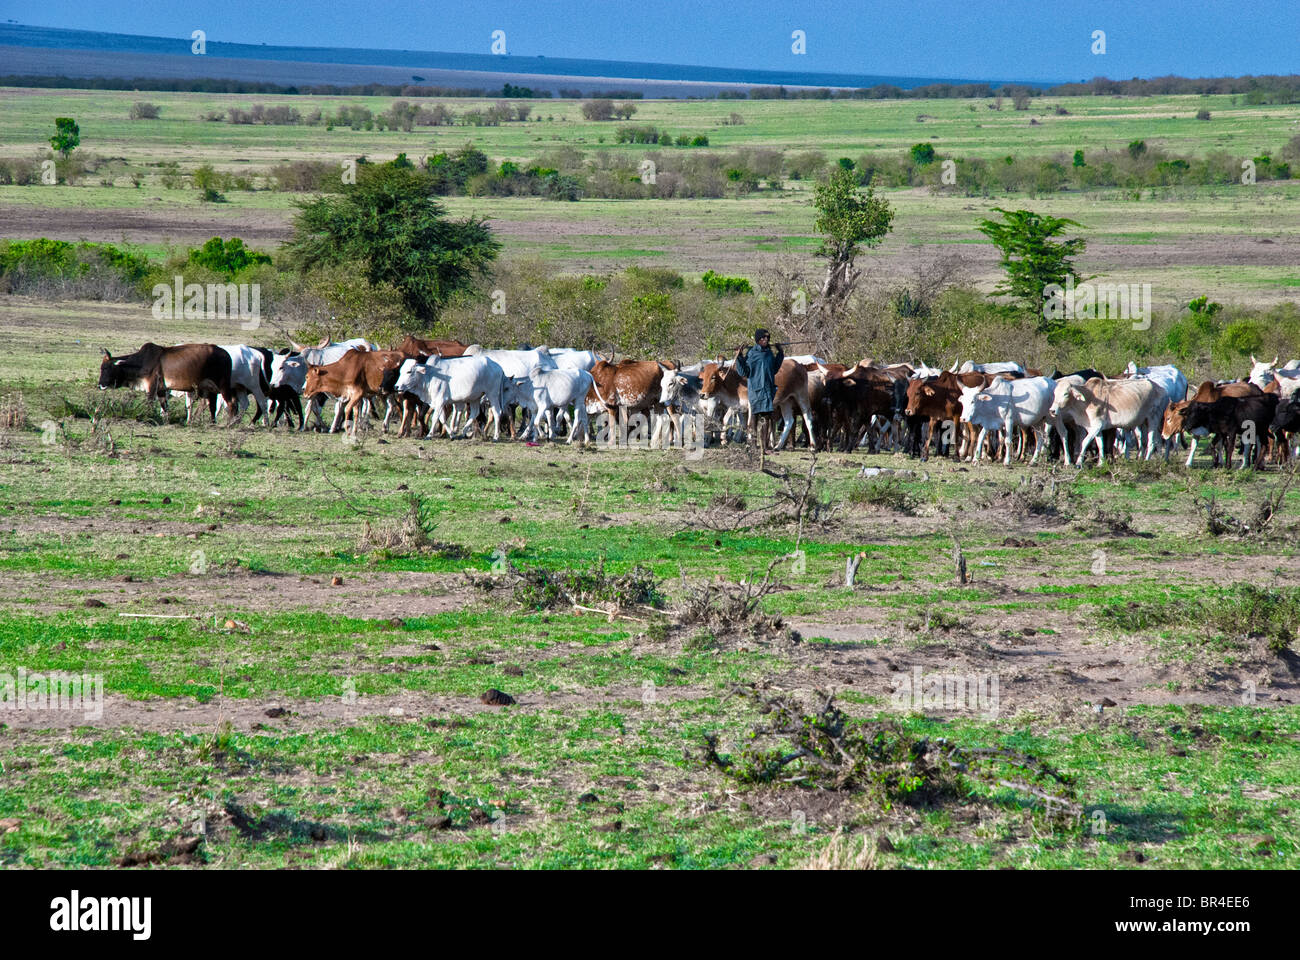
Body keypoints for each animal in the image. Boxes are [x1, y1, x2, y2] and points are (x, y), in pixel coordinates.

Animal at [99, 343, 236, 423]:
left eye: (106, 368)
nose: (100, 384)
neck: (142, 362)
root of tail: (226, 354)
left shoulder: (152, 387)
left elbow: (149, 404)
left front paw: (148, 417)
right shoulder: (161, 390)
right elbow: (165, 407)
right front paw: (165, 421)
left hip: (223, 386)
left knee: (231, 403)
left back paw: (230, 423)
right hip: (210, 389)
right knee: (212, 406)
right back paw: (212, 423)